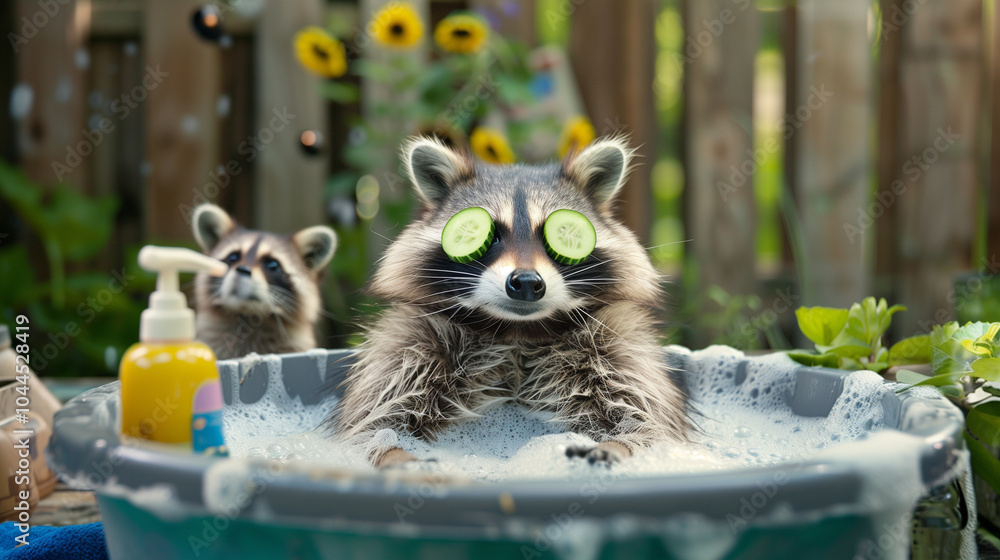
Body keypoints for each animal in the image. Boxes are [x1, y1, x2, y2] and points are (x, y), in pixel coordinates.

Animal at [333, 137, 692, 468]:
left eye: (563, 235)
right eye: (485, 236)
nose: (527, 283)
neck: (517, 331)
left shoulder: (618, 350)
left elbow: (646, 425)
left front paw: (616, 448)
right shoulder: (410, 348)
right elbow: (374, 426)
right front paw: (395, 456)